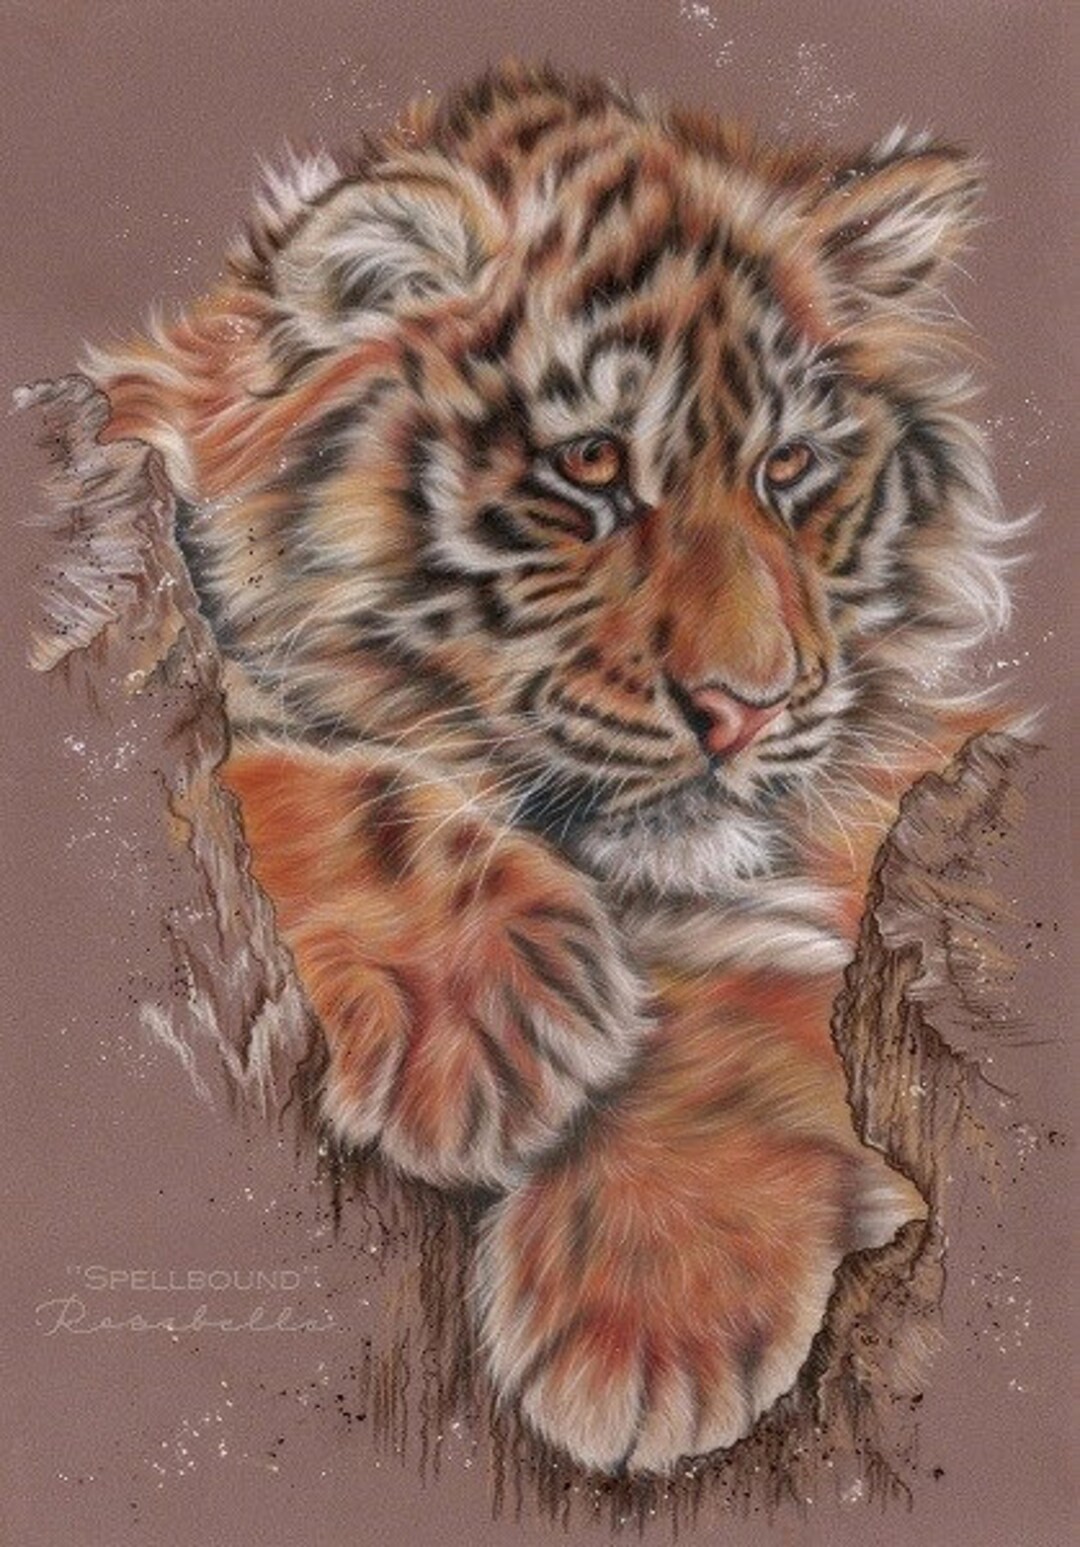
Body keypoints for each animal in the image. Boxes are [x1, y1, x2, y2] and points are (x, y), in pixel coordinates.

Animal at [87, 61, 1015, 1474]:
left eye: (789, 467)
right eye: (591, 465)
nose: (747, 709)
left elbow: (764, 940)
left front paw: (662, 1308)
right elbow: (286, 763)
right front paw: (485, 1011)